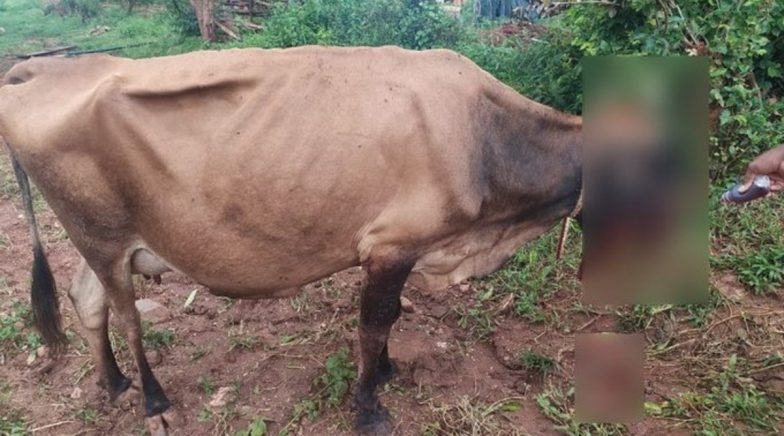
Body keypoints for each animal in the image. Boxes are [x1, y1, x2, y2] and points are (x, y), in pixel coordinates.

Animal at [0, 45, 581, 435]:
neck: (486, 138)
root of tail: (44, 69)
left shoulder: (402, 251)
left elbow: (389, 320)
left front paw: (387, 371)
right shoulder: (390, 245)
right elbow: (374, 324)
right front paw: (369, 407)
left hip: (99, 239)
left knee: (87, 300)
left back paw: (116, 383)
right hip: (100, 235)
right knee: (128, 318)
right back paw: (154, 402)